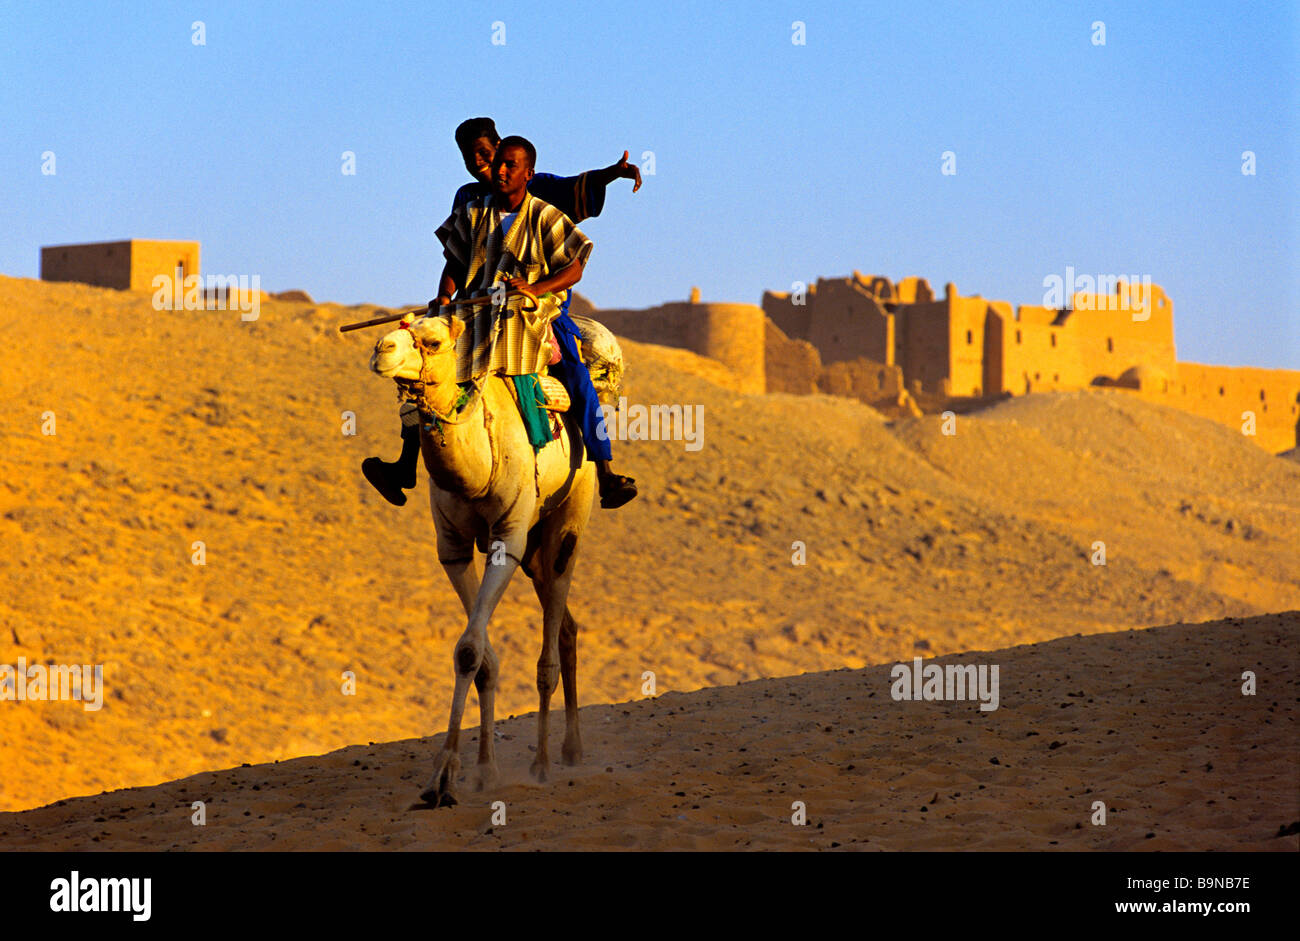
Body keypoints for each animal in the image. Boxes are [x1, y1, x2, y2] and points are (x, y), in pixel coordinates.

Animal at [369, 311, 607, 807]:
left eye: (433, 342)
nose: (381, 349)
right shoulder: (454, 549)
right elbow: (480, 657)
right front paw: (480, 771)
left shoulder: (508, 538)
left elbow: (468, 649)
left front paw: (443, 777)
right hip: (534, 553)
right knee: (567, 628)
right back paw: (571, 749)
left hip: (567, 520)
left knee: (549, 648)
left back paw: (544, 763)